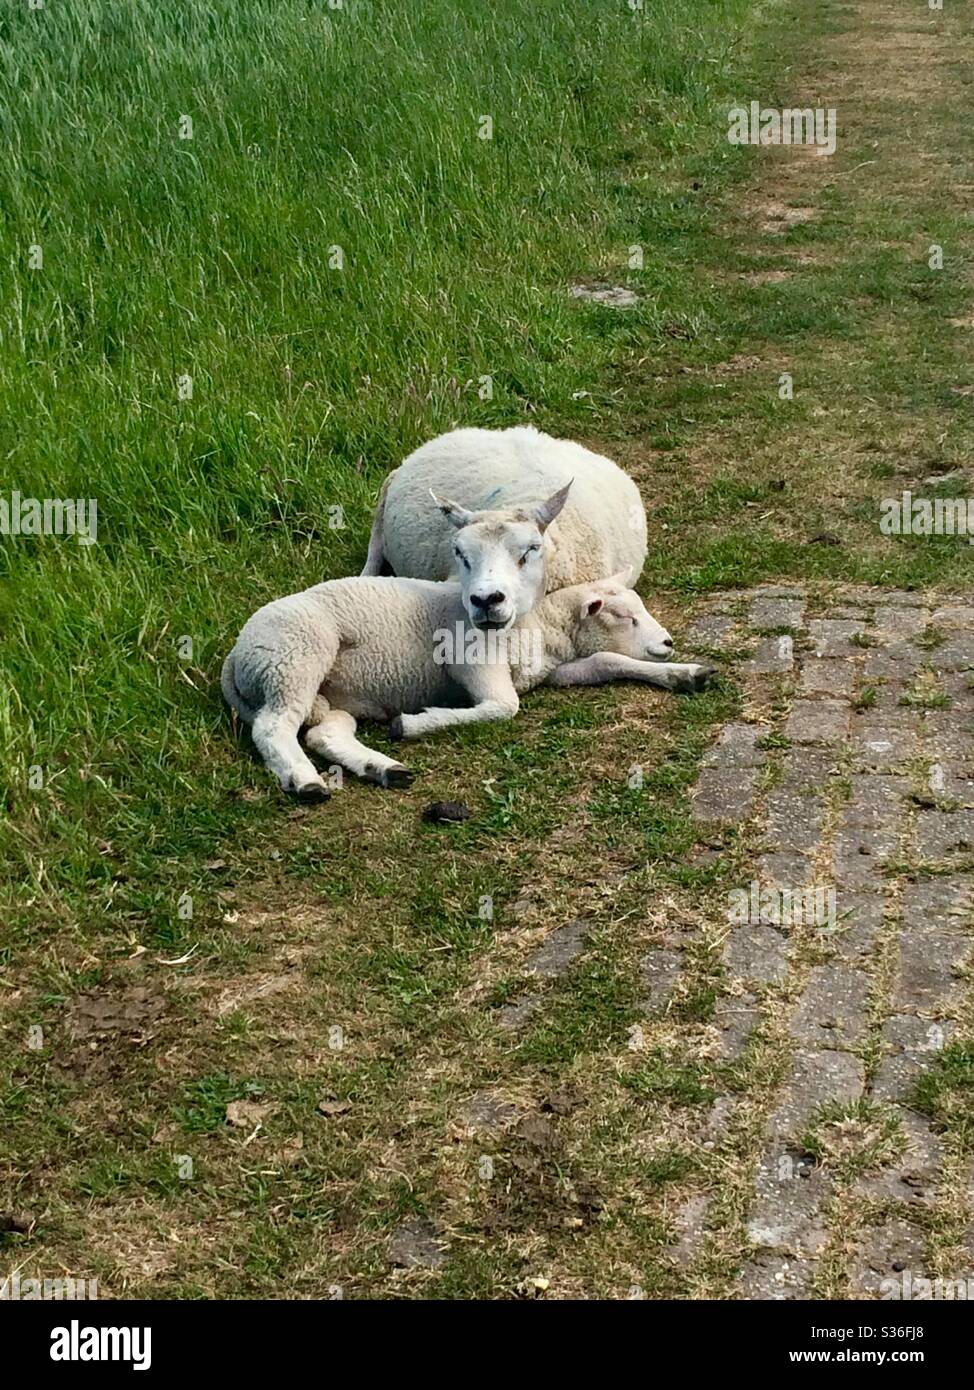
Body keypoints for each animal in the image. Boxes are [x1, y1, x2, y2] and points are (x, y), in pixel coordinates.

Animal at [221, 571, 713, 800]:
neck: (538, 627)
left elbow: (609, 661)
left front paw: (685, 673)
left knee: (324, 732)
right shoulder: (472, 660)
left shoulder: (555, 669)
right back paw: (304, 780)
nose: (667, 642)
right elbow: (503, 707)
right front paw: (417, 723)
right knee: (273, 727)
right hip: (295, 656)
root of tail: (236, 653)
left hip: (325, 692)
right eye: (625, 617)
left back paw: (383, 768)